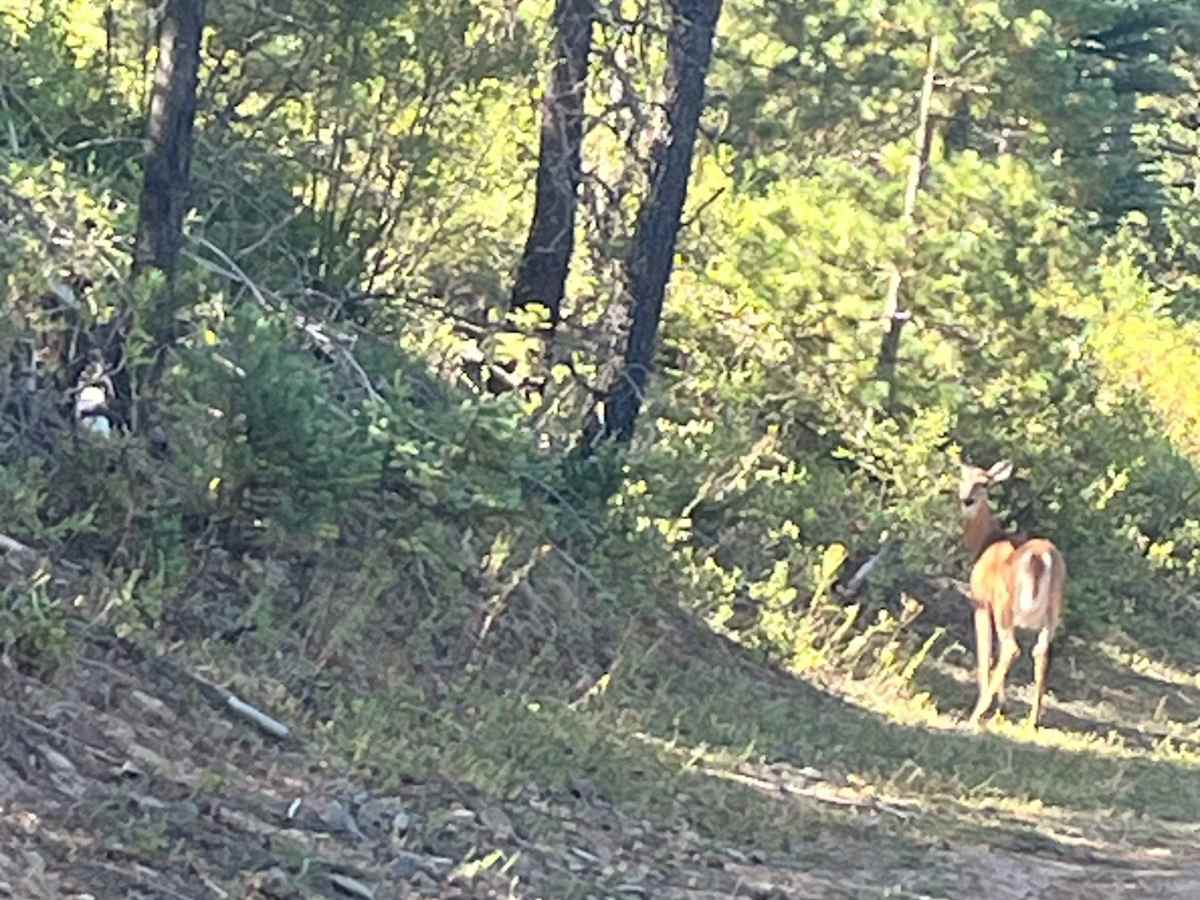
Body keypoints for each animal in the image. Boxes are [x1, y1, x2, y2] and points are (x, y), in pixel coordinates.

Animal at [959, 460, 1066, 729]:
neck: (986, 542)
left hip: (1004, 606)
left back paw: (975, 715)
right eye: (962, 477)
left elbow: (985, 653)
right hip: (1052, 611)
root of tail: (1039, 558)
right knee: (1041, 650)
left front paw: (995, 705)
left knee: (1011, 648)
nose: (966, 499)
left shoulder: (980, 602)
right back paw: (1032, 721)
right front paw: (1002, 705)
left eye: (984, 483)